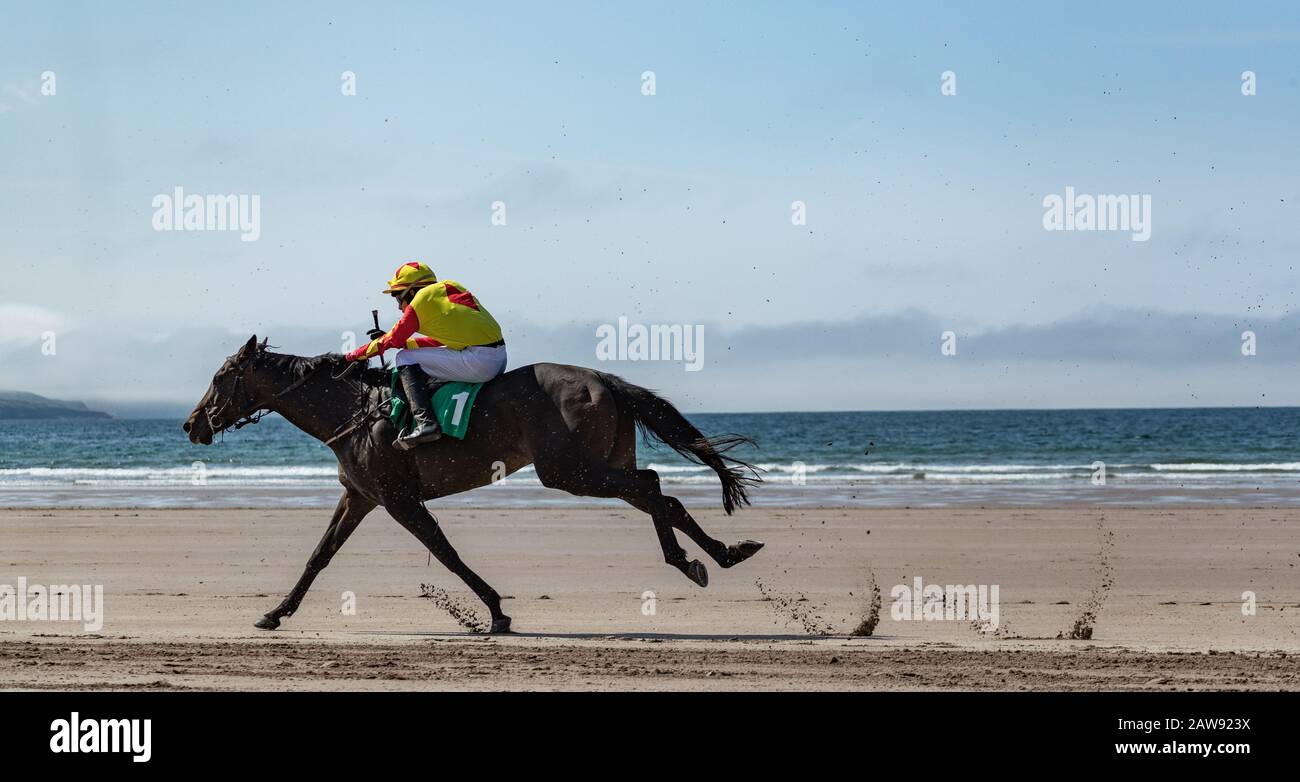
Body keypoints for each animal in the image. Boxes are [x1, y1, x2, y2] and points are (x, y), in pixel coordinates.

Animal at [183, 336, 765, 633]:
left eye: (219, 377)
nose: (191, 424)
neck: (353, 410)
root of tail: (603, 379)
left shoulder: (399, 500)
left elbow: (447, 554)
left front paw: (496, 611)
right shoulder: (361, 497)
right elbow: (318, 556)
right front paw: (274, 613)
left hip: (569, 470)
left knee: (652, 486)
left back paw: (695, 558)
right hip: (594, 464)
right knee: (657, 492)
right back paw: (715, 555)